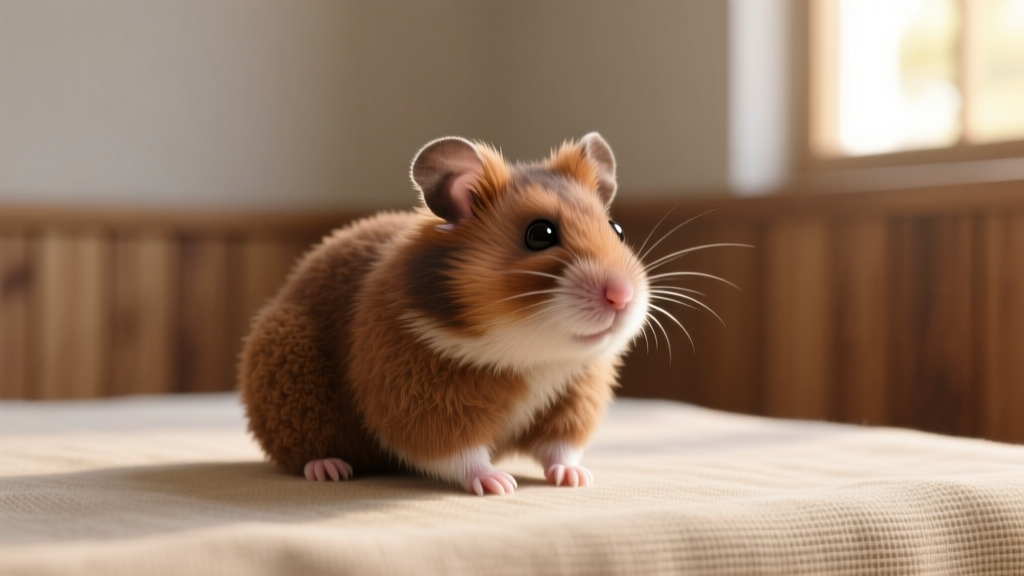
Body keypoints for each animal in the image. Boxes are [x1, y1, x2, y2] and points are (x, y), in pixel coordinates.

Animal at [239, 133, 649, 495]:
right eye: (540, 234)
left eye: (617, 229)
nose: (622, 296)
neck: (531, 356)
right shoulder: (418, 398)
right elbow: (459, 454)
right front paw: (498, 485)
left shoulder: (573, 397)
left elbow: (560, 447)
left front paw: (577, 478)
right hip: (290, 375)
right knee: (306, 450)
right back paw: (330, 469)